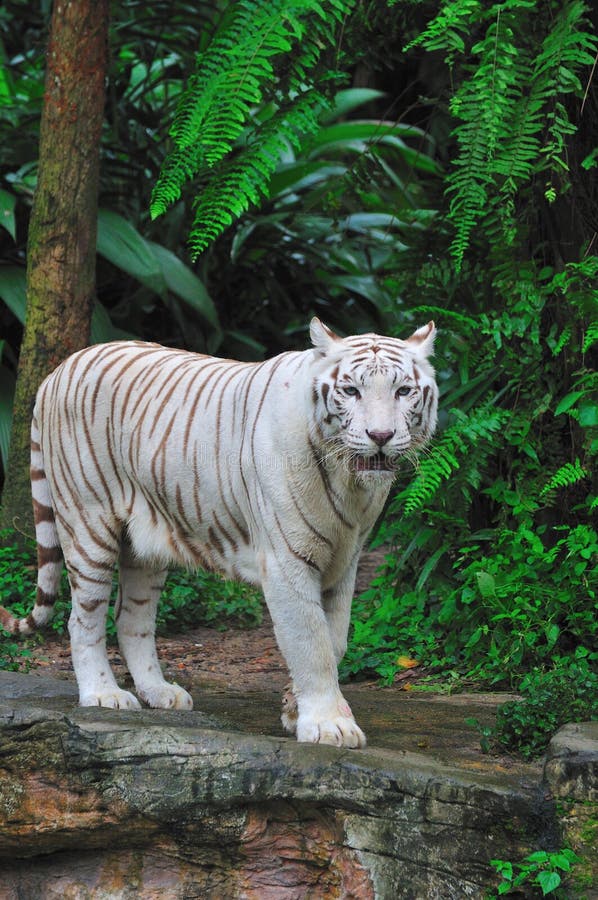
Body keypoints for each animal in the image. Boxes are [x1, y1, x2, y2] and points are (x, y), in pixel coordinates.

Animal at [0, 317, 438, 748]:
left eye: (403, 391)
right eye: (351, 390)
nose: (380, 437)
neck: (350, 483)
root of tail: (59, 369)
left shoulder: (345, 560)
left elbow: (335, 641)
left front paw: (294, 709)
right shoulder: (287, 561)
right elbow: (311, 643)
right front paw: (330, 725)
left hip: (144, 545)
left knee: (131, 618)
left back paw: (160, 692)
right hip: (88, 525)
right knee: (82, 620)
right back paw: (104, 695)